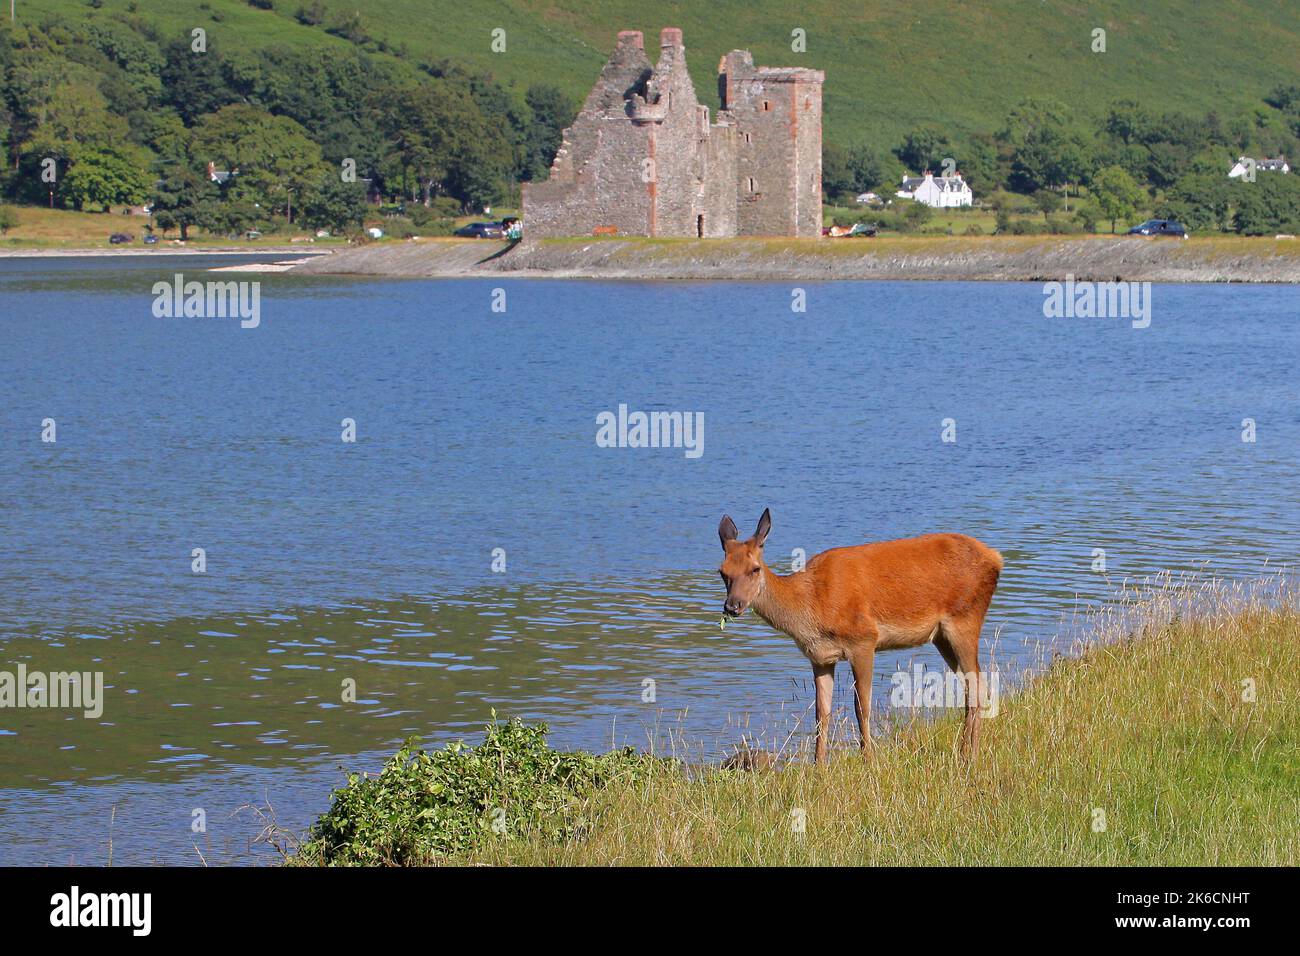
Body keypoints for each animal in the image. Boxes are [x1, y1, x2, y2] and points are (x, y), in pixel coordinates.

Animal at [717, 509, 1002, 764]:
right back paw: (967, 752)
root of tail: (996, 558)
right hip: (942, 636)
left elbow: (861, 706)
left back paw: (970, 756)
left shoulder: (864, 639)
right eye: (722, 571)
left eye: (755, 569)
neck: (811, 606)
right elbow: (822, 712)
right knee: (972, 684)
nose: (732, 606)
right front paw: (819, 765)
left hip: (965, 618)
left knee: (977, 684)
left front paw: (869, 760)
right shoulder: (820, 657)